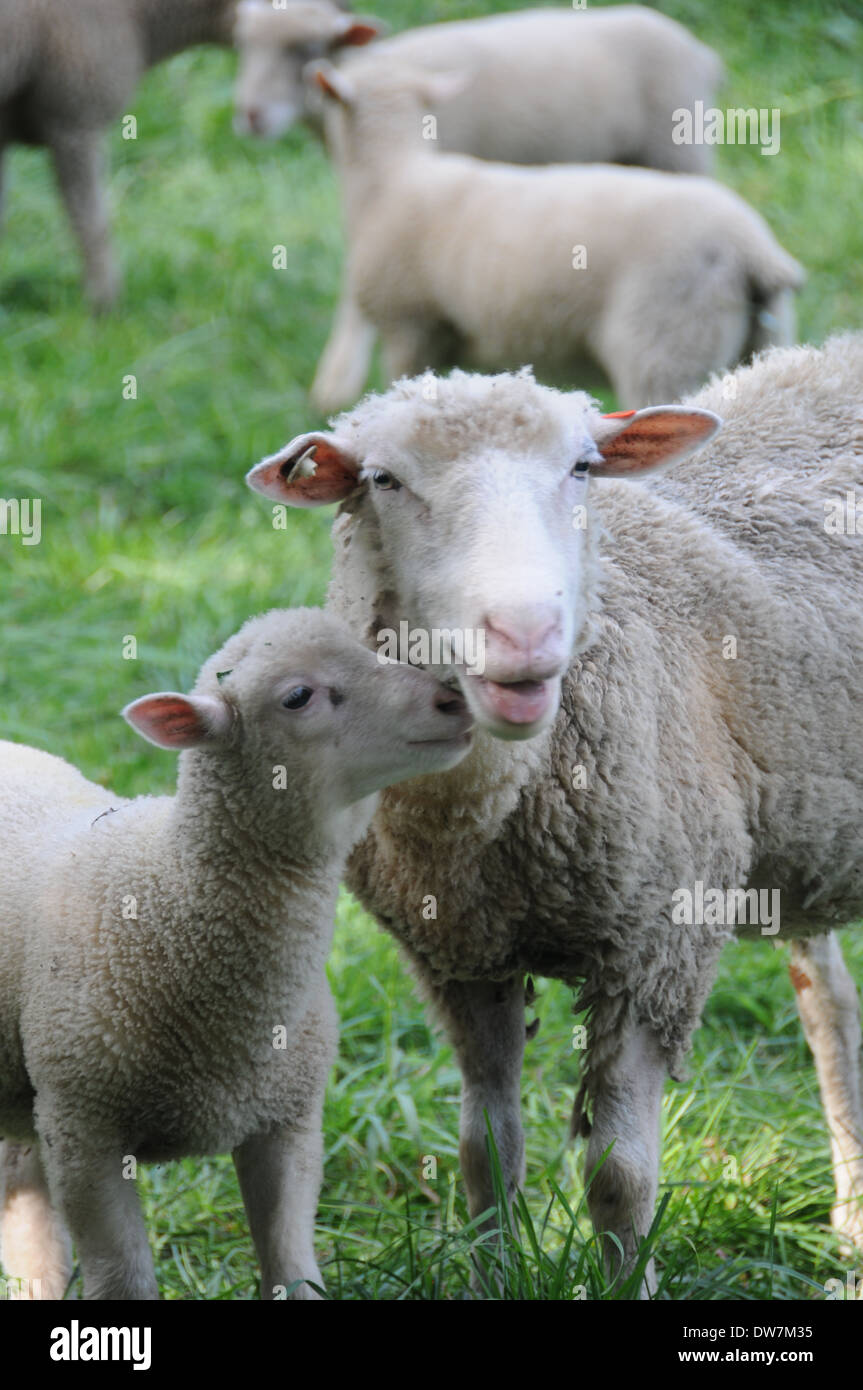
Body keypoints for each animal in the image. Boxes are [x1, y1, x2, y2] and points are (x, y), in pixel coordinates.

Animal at [0, 607, 473, 1300]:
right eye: (298, 696)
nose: (454, 698)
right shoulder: (85, 1132)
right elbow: (124, 1280)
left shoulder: (287, 1123)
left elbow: (292, 1268)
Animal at [247, 335, 863, 1286]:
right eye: (383, 479)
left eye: (581, 467)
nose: (524, 636)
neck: (486, 820)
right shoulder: (457, 956)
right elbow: (484, 1149)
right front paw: (490, 1277)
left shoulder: (654, 949)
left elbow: (618, 1174)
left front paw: (627, 1283)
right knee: (827, 998)